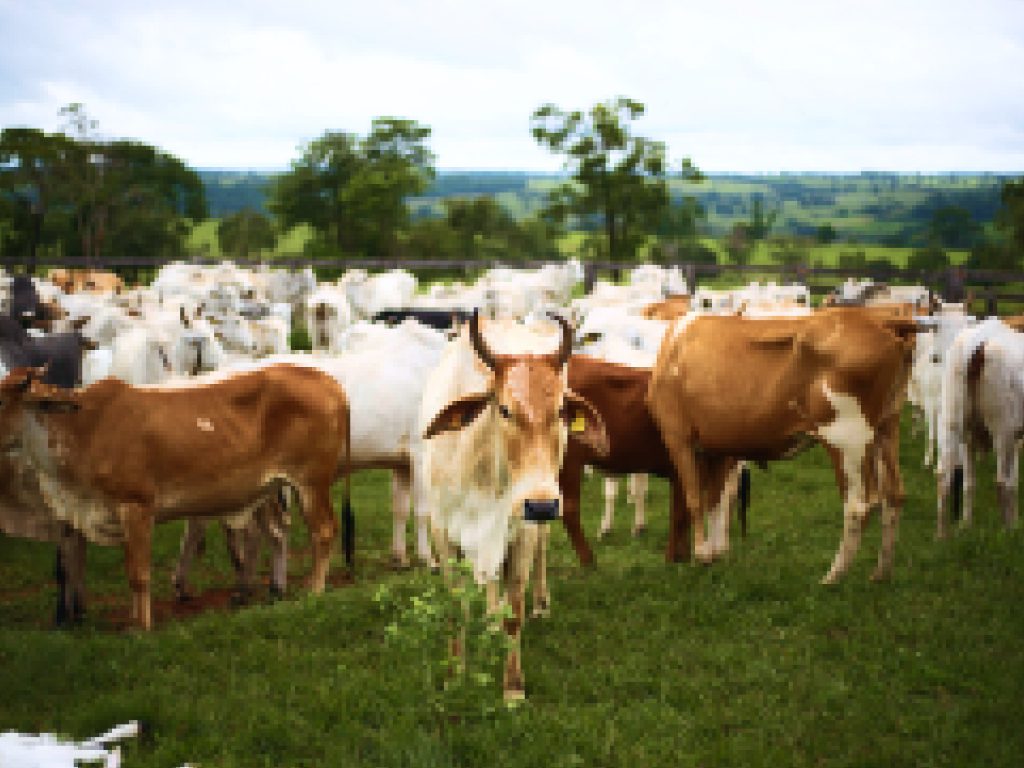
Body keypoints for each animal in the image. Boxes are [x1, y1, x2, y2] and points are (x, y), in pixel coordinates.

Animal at [0, 364, 352, 629]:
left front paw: (142, 626)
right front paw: (133, 617)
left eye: (2, 402)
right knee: (279, 533)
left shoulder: (137, 506)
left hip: (311, 483)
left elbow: (138, 573)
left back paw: (314, 590)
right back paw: (274, 592)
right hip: (272, 489)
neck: (83, 430)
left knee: (324, 532)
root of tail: (329, 383)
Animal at [416, 312, 608, 700]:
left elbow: (513, 611)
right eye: (504, 409)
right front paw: (455, 675)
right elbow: (456, 605)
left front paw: (513, 689)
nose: (541, 506)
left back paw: (541, 604)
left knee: (542, 551)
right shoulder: (442, 530)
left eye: (561, 410)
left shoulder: (522, 529)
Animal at [647, 308, 918, 583]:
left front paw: (702, 554)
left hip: (847, 438)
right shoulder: (716, 449)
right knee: (894, 495)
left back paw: (831, 578)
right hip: (887, 426)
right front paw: (714, 554)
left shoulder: (677, 435)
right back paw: (881, 574)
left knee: (858, 506)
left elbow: (694, 497)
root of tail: (878, 319)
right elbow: (714, 499)